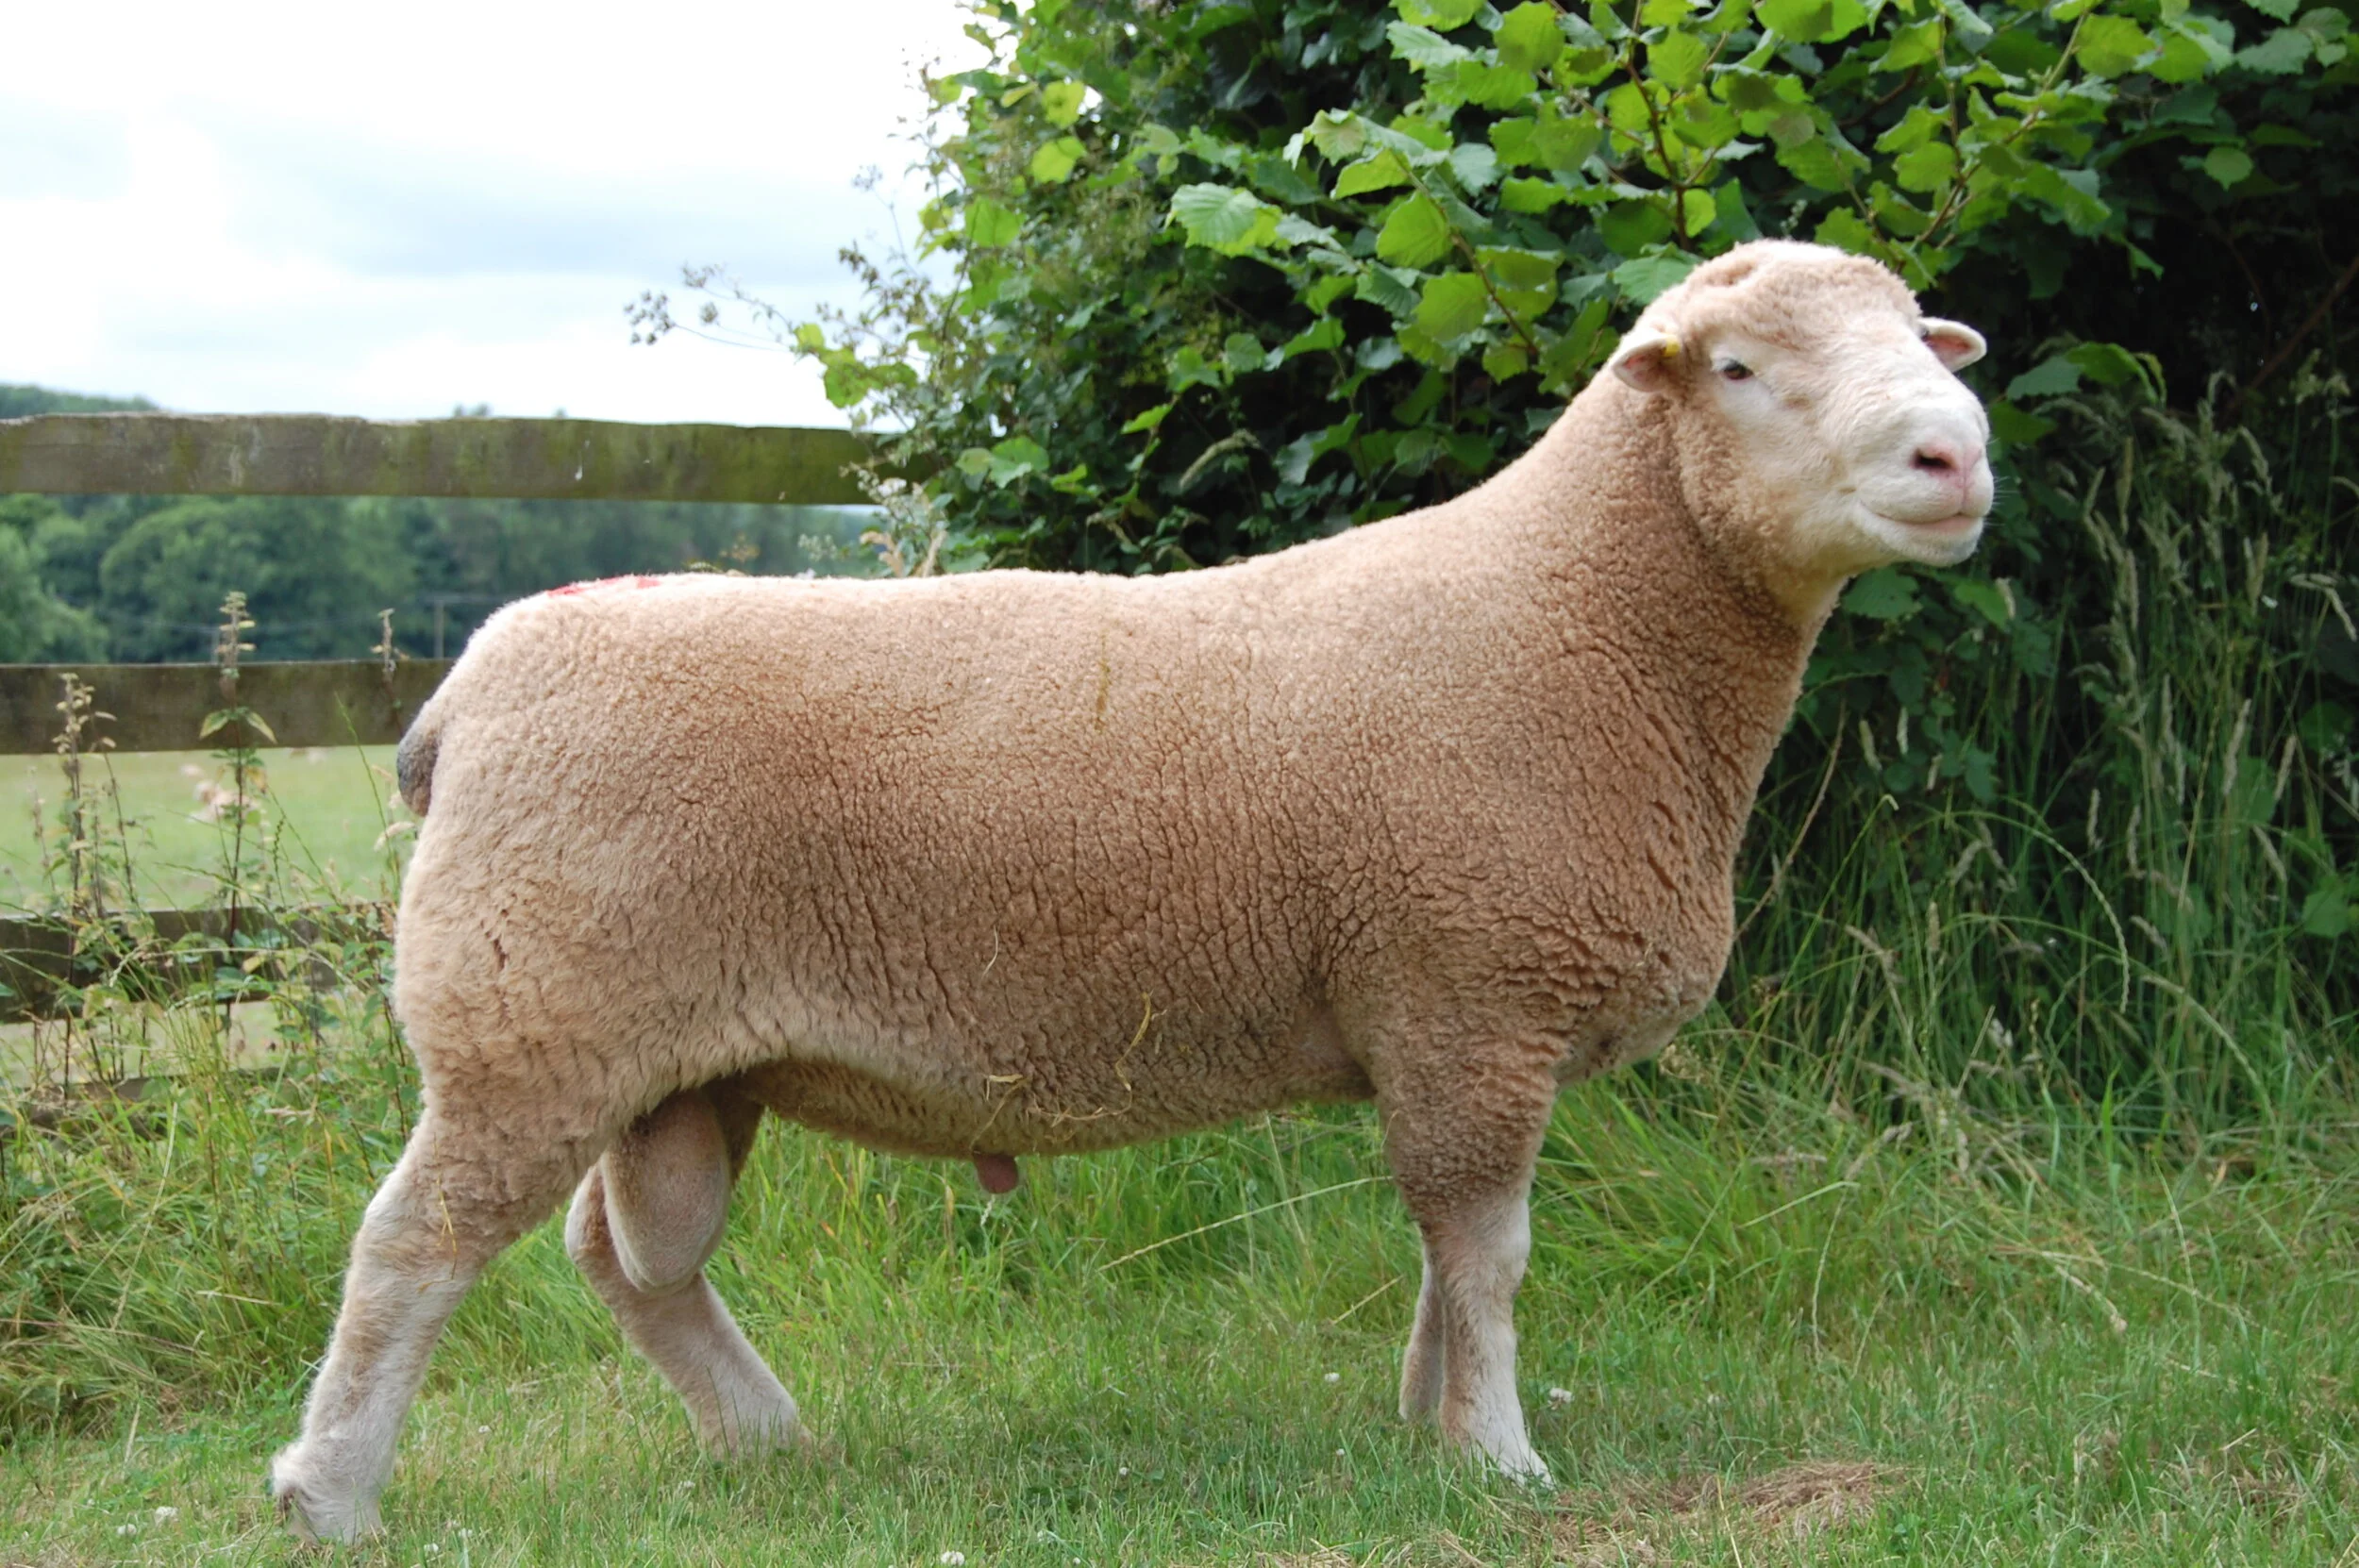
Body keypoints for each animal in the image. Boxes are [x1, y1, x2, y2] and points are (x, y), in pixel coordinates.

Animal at [268, 239, 1992, 1540]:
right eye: (1738, 368)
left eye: (1918, 336)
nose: (1957, 453)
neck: (1580, 619)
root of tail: (466, 691)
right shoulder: (1472, 997)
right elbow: (1490, 1258)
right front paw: (1503, 1461)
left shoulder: (1438, 1023)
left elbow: (1444, 1259)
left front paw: (1426, 1428)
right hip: (526, 1012)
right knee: (413, 1247)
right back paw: (329, 1492)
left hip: (672, 1055)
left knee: (630, 1259)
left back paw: (767, 1439)